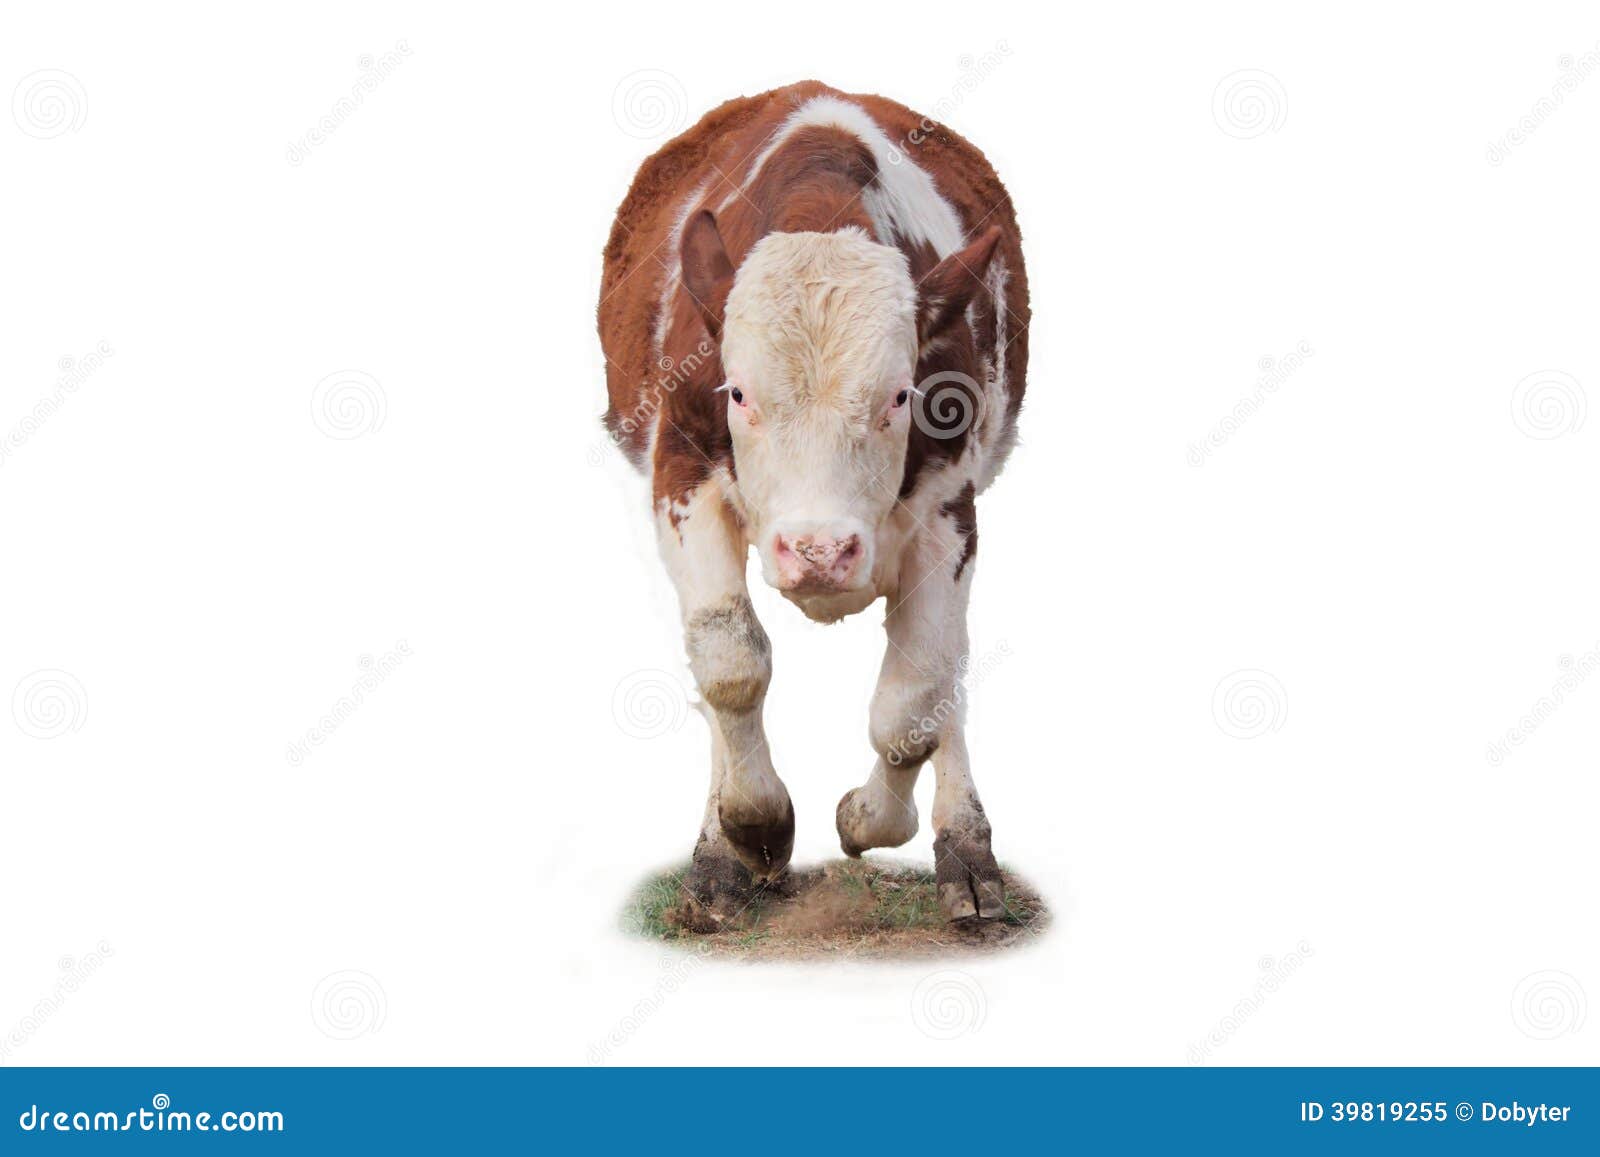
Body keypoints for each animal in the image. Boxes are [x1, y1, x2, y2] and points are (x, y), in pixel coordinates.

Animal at [598, 81, 1029, 921]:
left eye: (900, 395)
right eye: (737, 391)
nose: (821, 551)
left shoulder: (951, 505)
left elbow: (914, 700)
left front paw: (868, 820)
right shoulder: (679, 474)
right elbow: (729, 662)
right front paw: (753, 830)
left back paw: (967, 850)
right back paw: (717, 856)